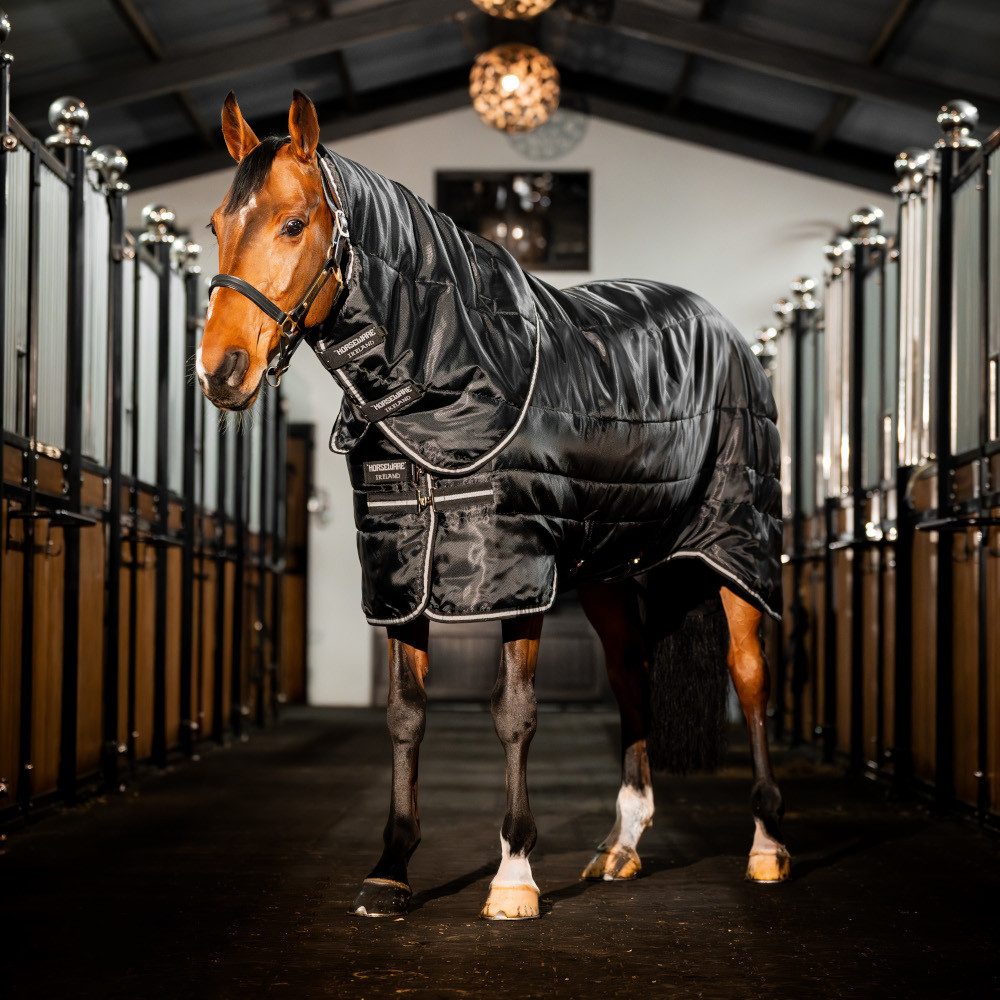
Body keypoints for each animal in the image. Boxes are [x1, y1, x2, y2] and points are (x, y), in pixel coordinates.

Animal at [197, 91, 791, 921]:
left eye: (292, 223)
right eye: (216, 223)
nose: (220, 371)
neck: (447, 375)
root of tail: (726, 332)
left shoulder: (518, 572)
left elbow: (514, 711)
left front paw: (513, 875)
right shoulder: (399, 570)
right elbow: (406, 714)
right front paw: (391, 869)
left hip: (735, 548)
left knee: (751, 677)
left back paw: (766, 847)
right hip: (610, 570)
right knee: (631, 675)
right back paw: (621, 845)